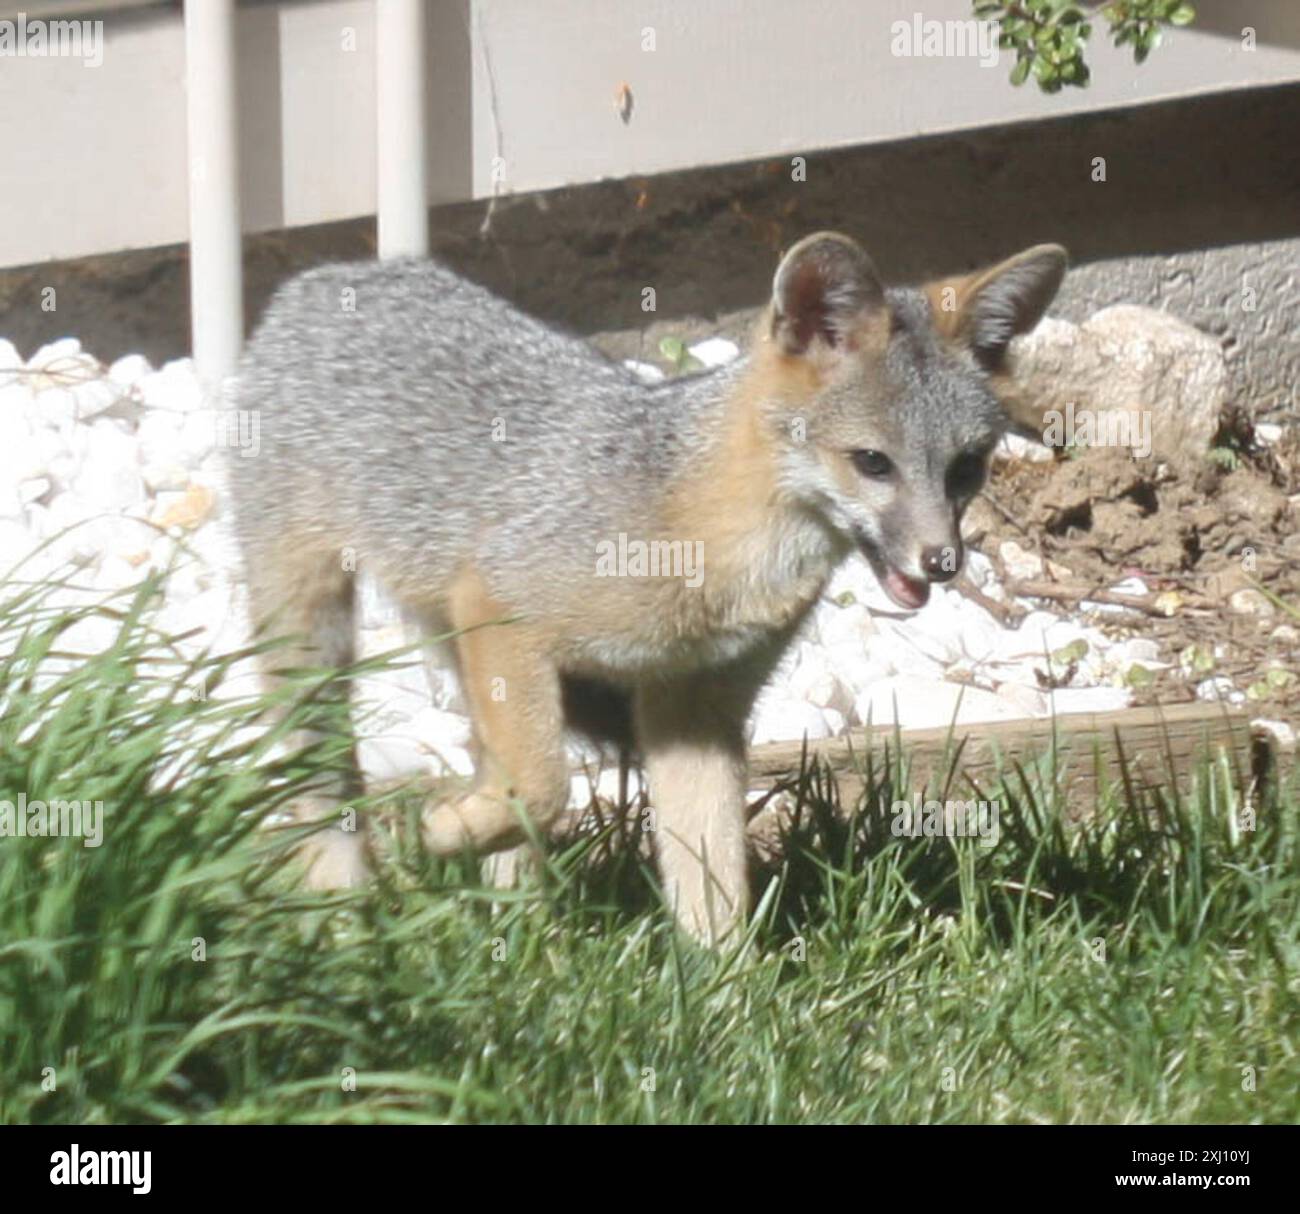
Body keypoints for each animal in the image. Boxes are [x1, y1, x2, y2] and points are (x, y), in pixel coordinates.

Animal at [225, 230, 1067, 944]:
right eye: (872, 463)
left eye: (967, 468)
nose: (943, 561)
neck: (707, 536)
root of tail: (339, 271)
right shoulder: (502, 602)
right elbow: (546, 790)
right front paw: (437, 831)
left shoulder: (693, 710)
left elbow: (712, 880)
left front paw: (727, 1004)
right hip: (321, 642)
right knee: (330, 786)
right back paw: (347, 921)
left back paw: (519, 934)